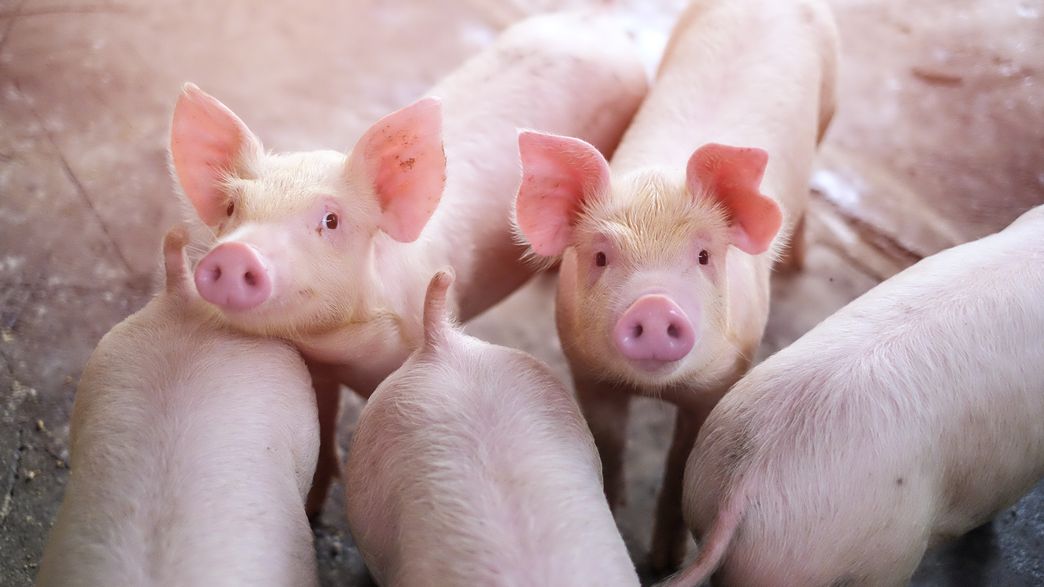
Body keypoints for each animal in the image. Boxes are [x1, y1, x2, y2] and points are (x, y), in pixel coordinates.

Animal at [168, 10, 648, 515]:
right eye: (232, 208)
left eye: (331, 220)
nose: (235, 252)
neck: (347, 350)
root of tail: (594, 19)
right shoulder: (318, 365)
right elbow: (323, 421)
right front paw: (314, 509)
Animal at [512, 0, 839, 571]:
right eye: (601, 256)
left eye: (704, 255)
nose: (654, 305)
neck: (655, 391)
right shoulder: (586, 370)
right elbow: (608, 445)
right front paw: (615, 511)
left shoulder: (723, 377)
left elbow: (679, 466)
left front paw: (663, 562)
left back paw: (797, 264)